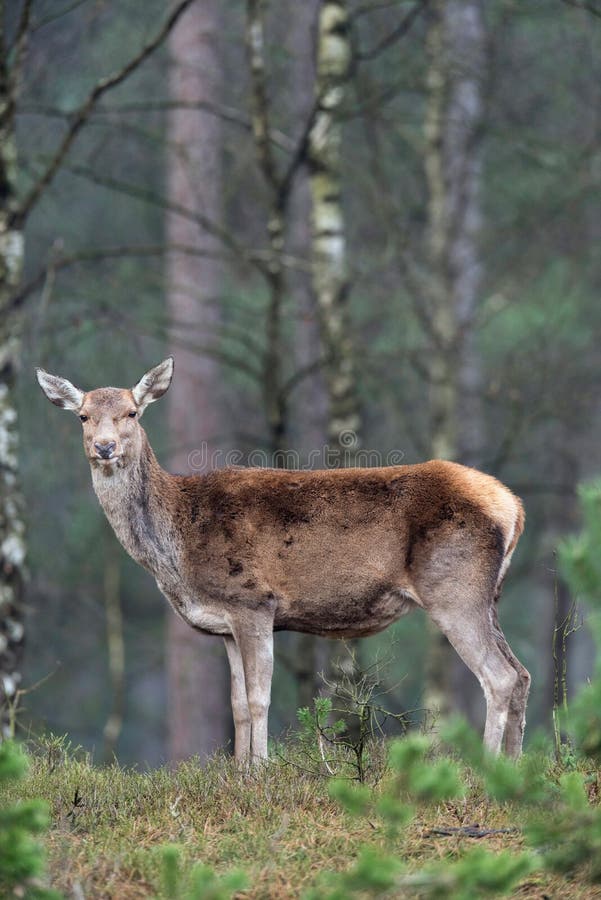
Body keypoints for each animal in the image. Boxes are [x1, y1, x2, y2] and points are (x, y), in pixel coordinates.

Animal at [36, 357, 530, 762]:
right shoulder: (225, 624)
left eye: (132, 413)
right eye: (83, 416)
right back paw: (513, 768)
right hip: (488, 597)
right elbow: (237, 705)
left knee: (499, 677)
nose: (104, 447)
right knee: (522, 674)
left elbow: (260, 699)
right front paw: (237, 774)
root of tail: (513, 506)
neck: (178, 547)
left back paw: (484, 771)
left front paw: (260, 773)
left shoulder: (253, 600)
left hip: (454, 588)